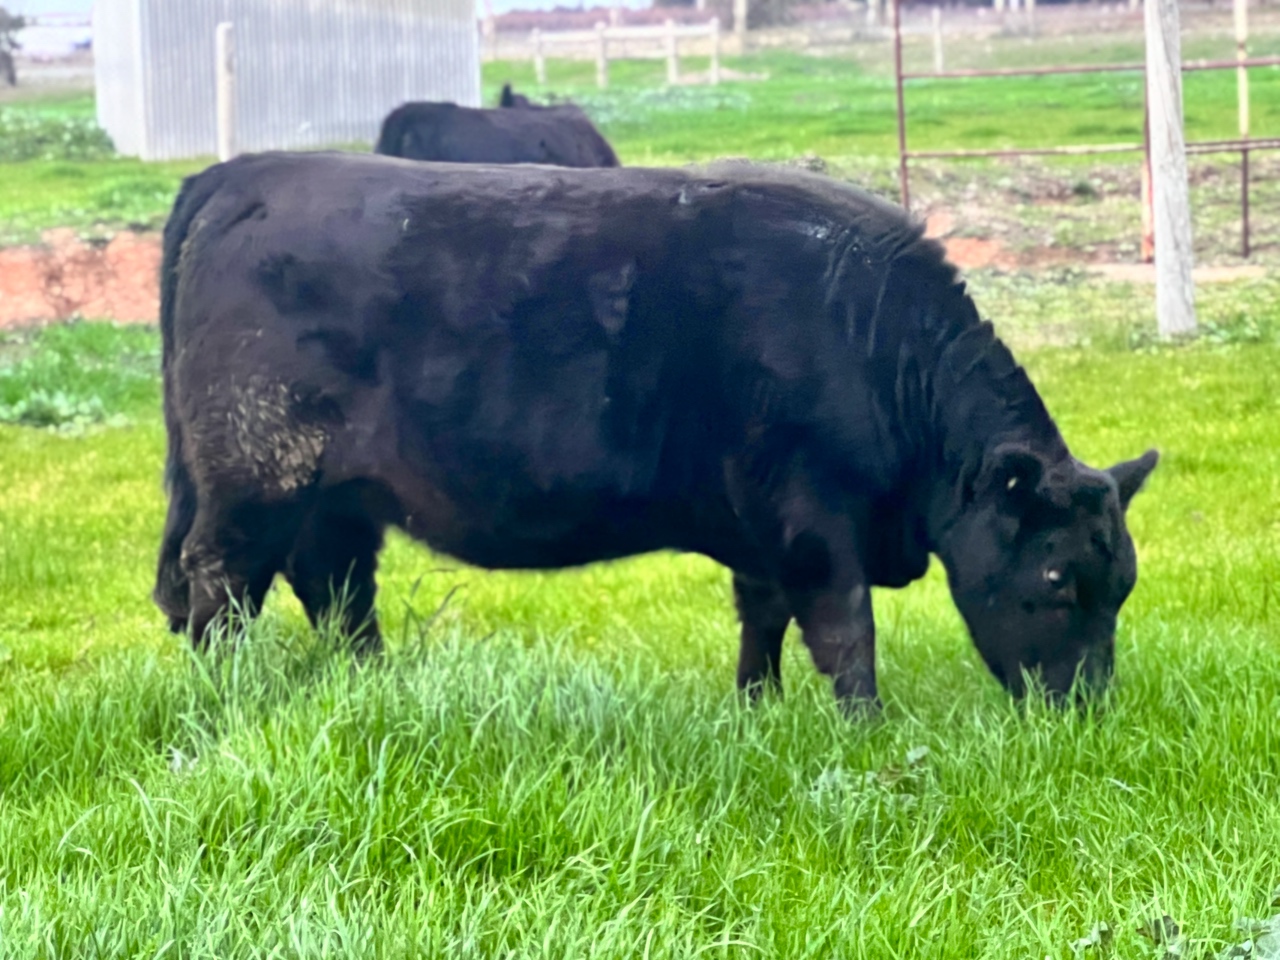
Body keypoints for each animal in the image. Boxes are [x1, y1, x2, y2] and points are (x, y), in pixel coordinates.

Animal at [154, 152, 1158, 710]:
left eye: (1123, 586)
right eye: (1058, 577)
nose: (1086, 711)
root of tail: (241, 176)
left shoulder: (762, 531)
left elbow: (764, 619)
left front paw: (758, 710)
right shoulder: (813, 517)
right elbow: (844, 630)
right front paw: (865, 727)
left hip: (332, 496)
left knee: (334, 588)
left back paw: (371, 687)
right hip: (256, 475)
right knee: (221, 587)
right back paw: (221, 696)